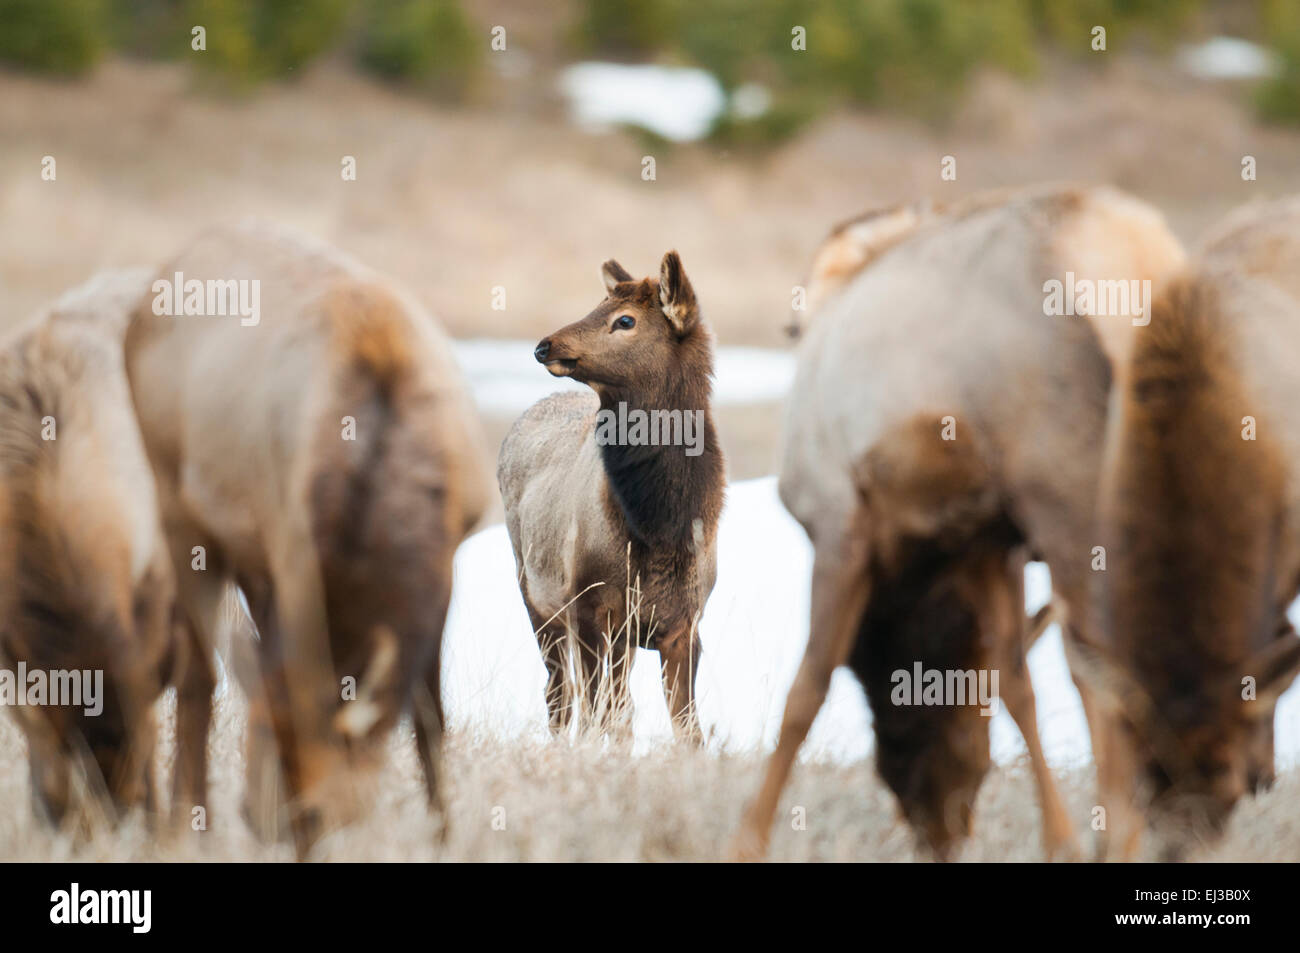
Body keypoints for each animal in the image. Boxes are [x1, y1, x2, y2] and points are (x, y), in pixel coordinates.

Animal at [123, 221, 489, 856]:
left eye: (321, 816)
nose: (260, 818)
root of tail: (149, 293)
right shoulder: (291, 551)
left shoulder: (449, 559)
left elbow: (430, 721)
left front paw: (444, 836)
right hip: (175, 503)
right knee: (197, 676)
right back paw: (184, 826)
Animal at [498, 252, 725, 744]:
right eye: (597, 305)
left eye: (625, 320)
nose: (545, 345)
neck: (660, 527)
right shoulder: (588, 603)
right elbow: (606, 714)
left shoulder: (685, 619)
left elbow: (687, 727)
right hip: (536, 595)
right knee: (562, 694)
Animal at [730, 184, 1187, 861]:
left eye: (899, 737)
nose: (939, 836)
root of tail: (1135, 261)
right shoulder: (991, 544)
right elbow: (1018, 685)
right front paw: (1060, 840)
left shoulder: (836, 518)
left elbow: (806, 689)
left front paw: (748, 838)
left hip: (1074, 500)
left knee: (1106, 668)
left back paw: (1122, 835)